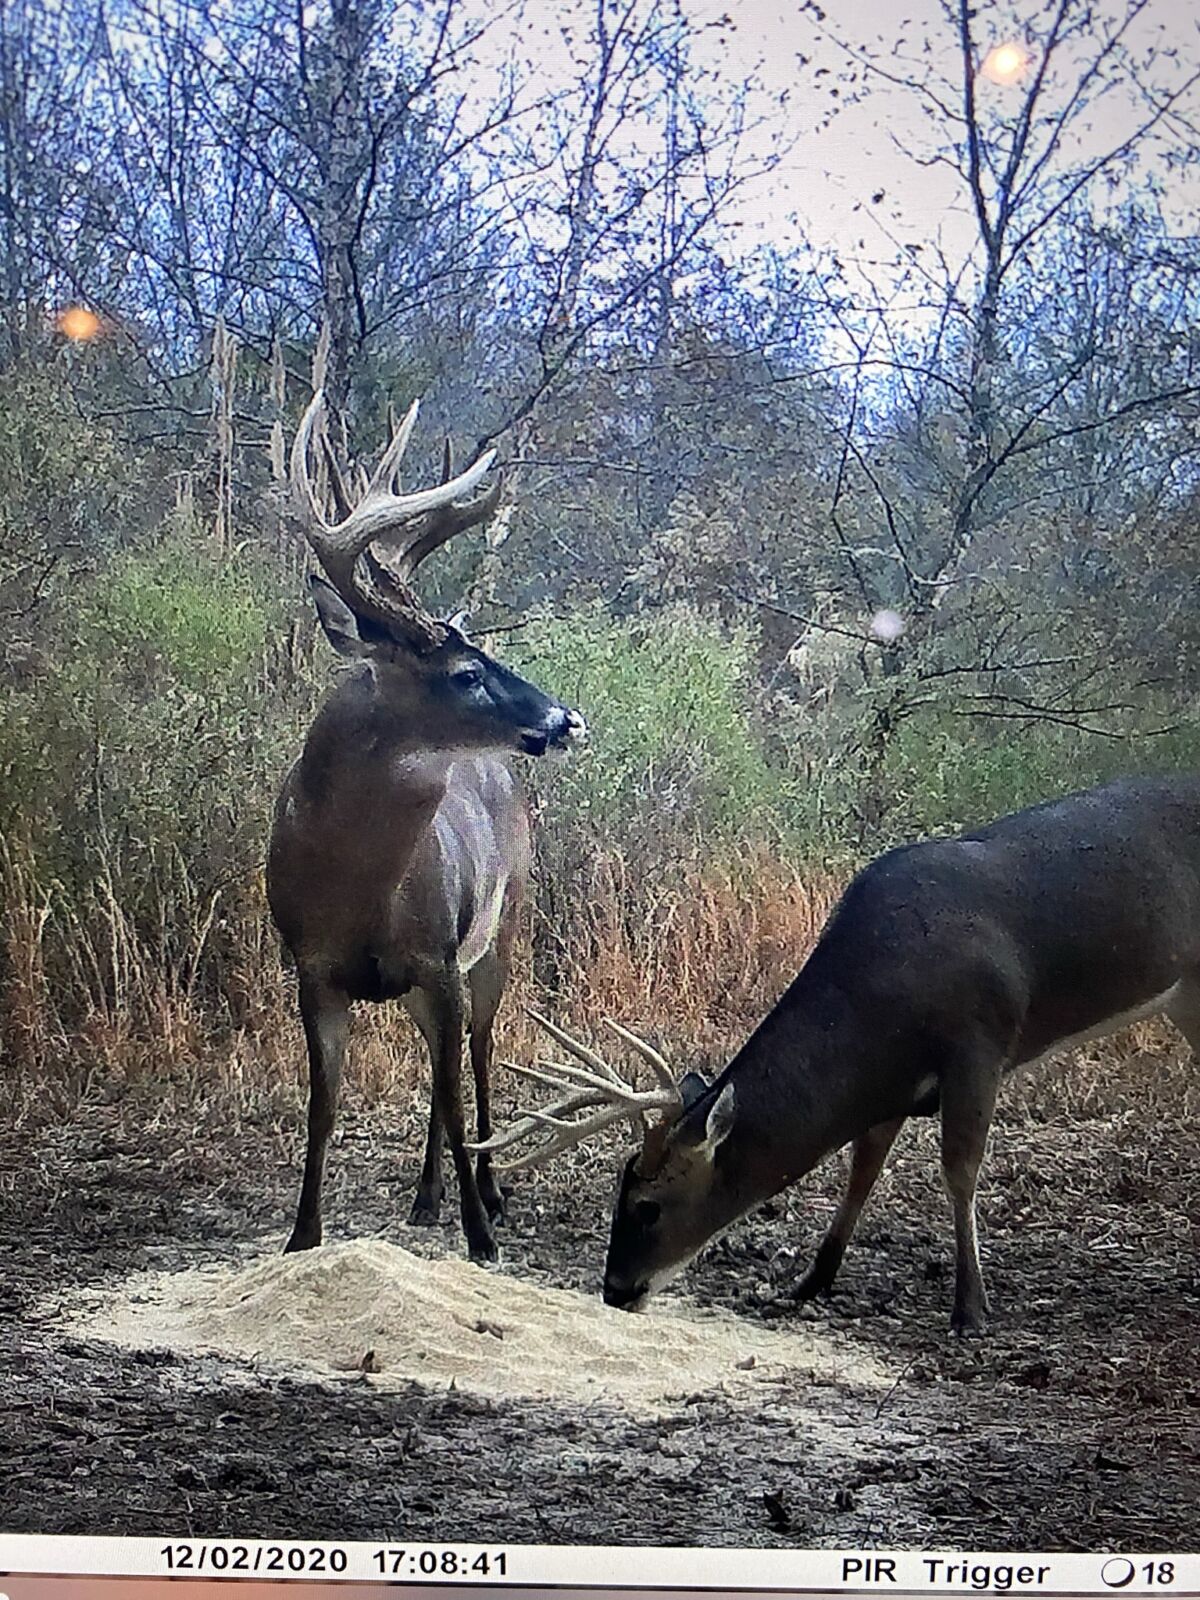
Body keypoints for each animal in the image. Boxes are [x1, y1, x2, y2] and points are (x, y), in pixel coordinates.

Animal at [268, 390, 586, 1264]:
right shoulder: (312, 968)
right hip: (418, 983)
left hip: (502, 931)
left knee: (476, 1057)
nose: (567, 718)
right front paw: (301, 1236)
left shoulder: (441, 956)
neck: (354, 882)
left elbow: (447, 1087)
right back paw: (427, 1196)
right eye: (467, 672)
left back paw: (489, 1189)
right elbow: (323, 1106)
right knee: (439, 1065)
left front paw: (483, 1239)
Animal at [475, 775, 1200, 1330]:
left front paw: (970, 1309)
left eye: (647, 1205)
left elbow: (960, 1170)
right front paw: (805, 1284)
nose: (616, 1289)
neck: (883, 991)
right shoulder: (893, 1083)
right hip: (1185, 995)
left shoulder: (978, 1042)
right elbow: (862, 1170)